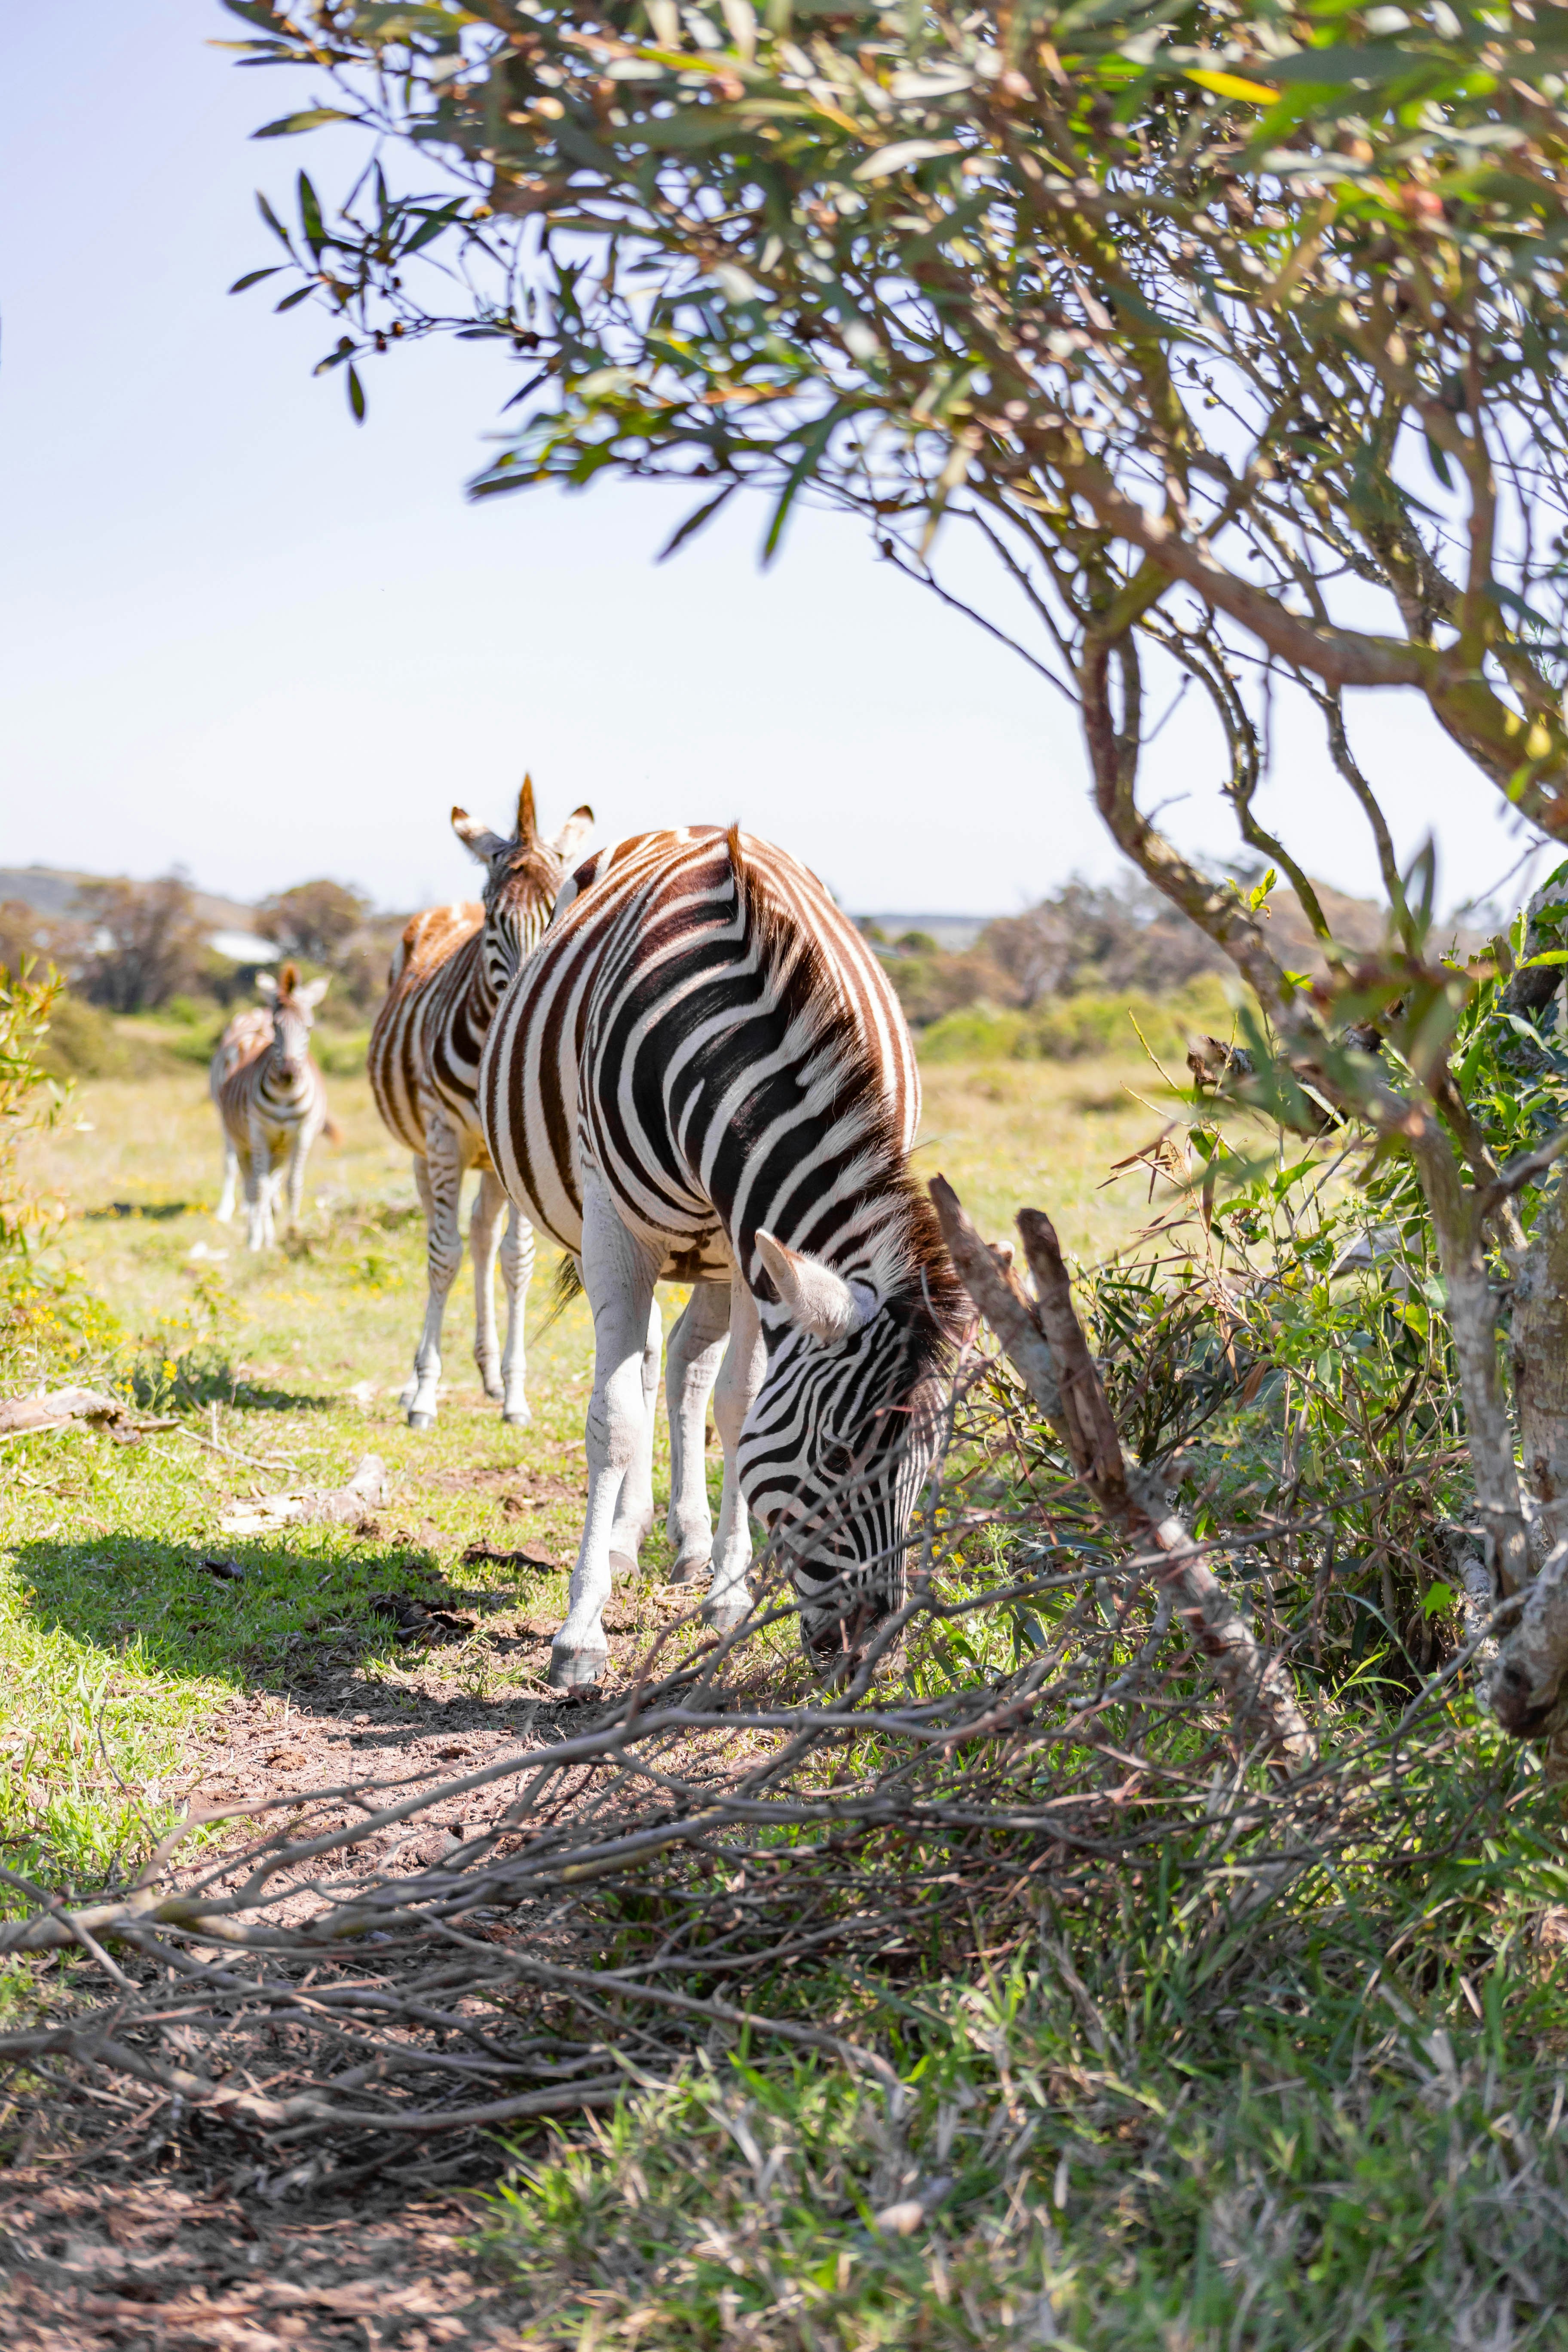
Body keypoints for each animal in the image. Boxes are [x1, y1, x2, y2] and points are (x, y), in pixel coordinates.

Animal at [212, 963, 331, 1250]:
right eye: (276, 1026)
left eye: (309, 1028)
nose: (288, 1073)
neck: (285, 1096)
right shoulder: (258, 1134)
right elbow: (259, 1188)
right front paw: (255, 1240)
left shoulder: (303, 1134)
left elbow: (293, 1185)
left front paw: (292, 1231)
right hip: (239, 1138)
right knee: (249, 1182)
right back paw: (249, 1230)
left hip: (280, 1148)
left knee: (269, 1183)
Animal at [367, 777, 594, 1429]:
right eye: (495, 920)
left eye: (562, 913)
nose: (531, 1003)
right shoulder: (444, 1135)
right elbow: (441, 1257)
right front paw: (423, 1393)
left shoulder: (524, 1151)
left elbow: (516, 1260)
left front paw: (515, 1394)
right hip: (427, 1151)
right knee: (444, 1235)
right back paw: (417, 1378)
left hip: (495, 1163)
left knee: (484, 1236)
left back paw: (490, 1373)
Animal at [478, 824, 962, 1689]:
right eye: (837, 1455)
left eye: (927, 1462)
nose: (872, 1660)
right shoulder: (615, 1225)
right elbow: (613, 1417)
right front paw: (580, 1633)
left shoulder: (749, 1247)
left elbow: (739, 1404)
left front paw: (730, 1593)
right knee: (643, 1361)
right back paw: (625, 1538)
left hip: (709, 1254)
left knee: (685, 1362)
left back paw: (689, 1544)